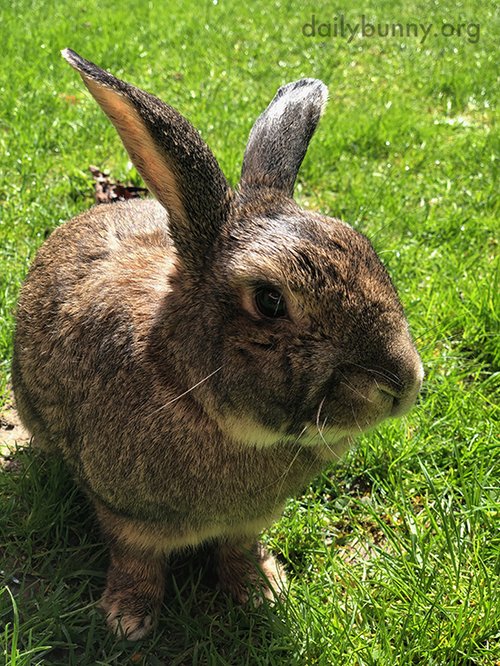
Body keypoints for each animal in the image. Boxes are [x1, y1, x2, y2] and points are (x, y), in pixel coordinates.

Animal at [11, 48, 424, 640]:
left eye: (371, 254)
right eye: (270, 301)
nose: (405, 384)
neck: (191, 393)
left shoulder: (247, 521)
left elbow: (237, 547)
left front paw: (260, 590)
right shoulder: (126, 513)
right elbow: (136, 559)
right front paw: (128, 619)